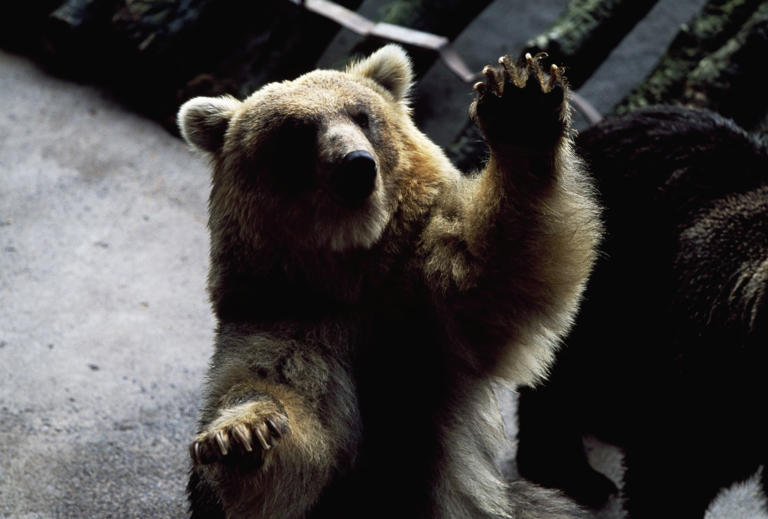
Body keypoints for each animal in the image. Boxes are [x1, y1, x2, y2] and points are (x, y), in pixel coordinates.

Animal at [177, 45, 602, 519]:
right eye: (297, 132)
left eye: (362, 116)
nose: (356, 166)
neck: (355, 272)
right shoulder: (288, 317)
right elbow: (283, 402)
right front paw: (239, 436)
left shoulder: (426, 306)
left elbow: (499, 269)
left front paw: (521, 102)